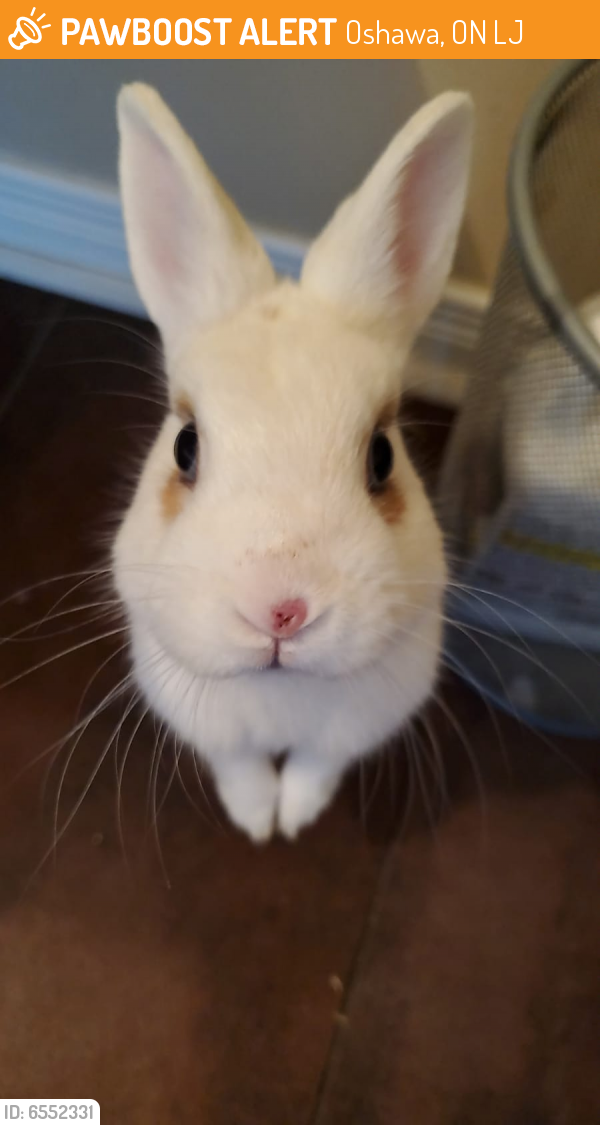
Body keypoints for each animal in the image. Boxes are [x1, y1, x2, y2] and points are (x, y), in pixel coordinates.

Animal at [112, 83, 473, 842]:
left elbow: (314, 765)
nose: (281, 611)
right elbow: (240, 767)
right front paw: (256, 819)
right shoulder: (209, 724)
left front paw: (297, 815)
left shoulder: (357, 723)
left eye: (382, 455)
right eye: (185, 446)